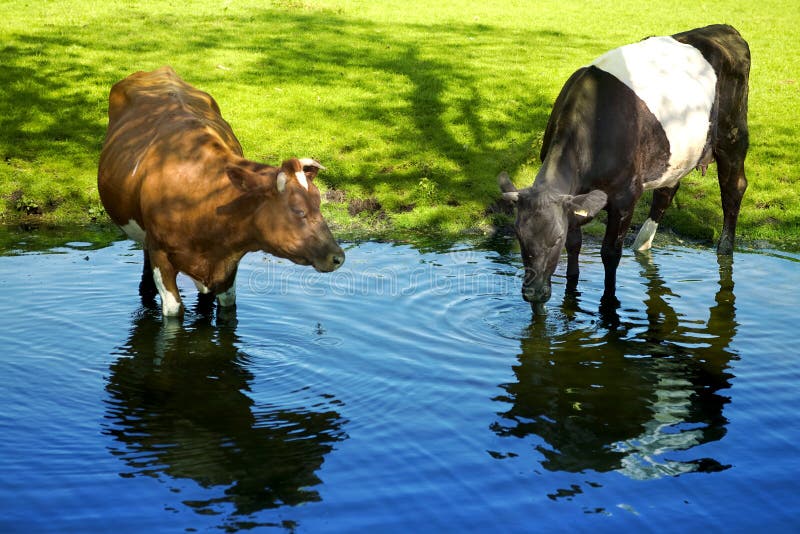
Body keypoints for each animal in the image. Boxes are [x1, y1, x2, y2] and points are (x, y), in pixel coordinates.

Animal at [98, 66, 345, 318]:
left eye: (319, 204)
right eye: (298, 210)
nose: (338, 257)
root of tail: (159, 70)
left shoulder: (227, 263)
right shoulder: (160, 255)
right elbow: (174, 311)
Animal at [498, 24, 750, 314]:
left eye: (555, 239)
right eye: (519, 236)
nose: (533, 292)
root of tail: (722, 29)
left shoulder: (626, 196)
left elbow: (609, 253)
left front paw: (609, 303)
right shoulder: (574, 198)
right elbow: (576, 244)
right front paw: (572, 287)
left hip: (733, 135)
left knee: (733, 188)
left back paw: (725, 250)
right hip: (675, 155)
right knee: (666, 191)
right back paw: (642, 245)